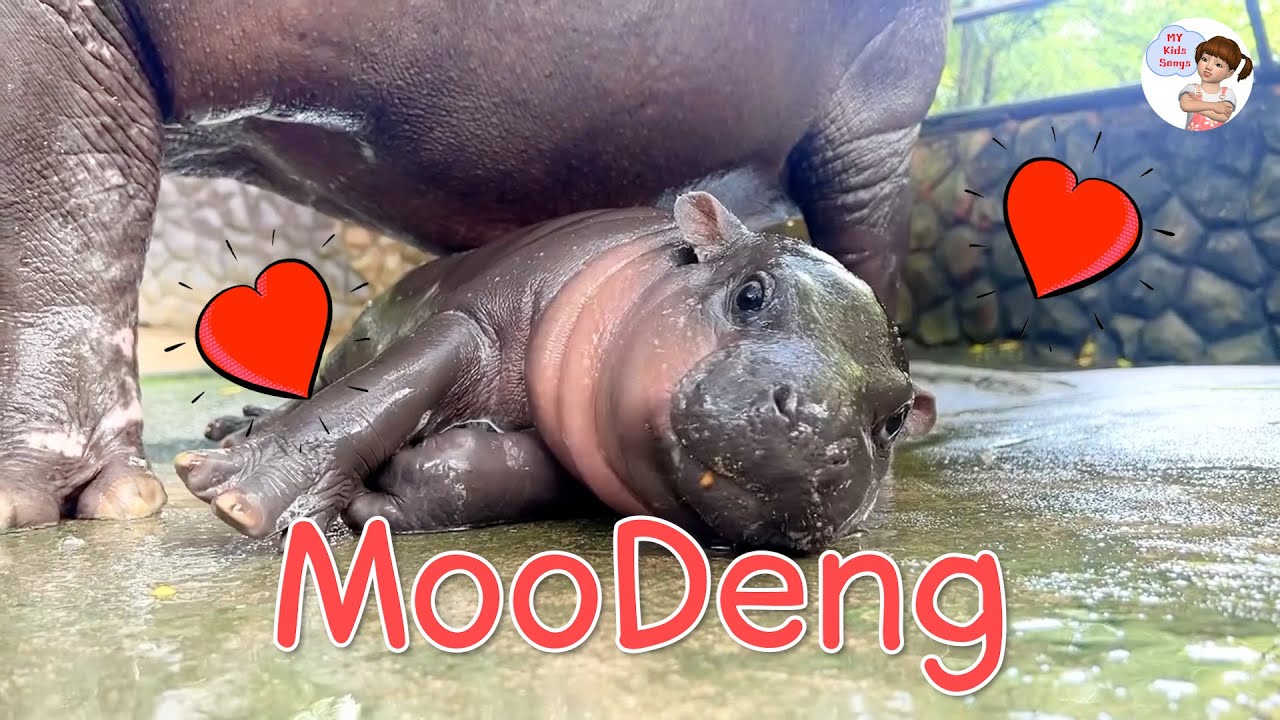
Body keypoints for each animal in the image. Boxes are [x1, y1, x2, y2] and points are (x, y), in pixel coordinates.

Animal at [176, 192, 936, 553]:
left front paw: (394, 493)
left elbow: (516, 473)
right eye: (751, 292)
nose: (819, 426)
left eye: (896, 418)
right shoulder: (478, 319)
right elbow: (380, 395)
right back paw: (232, 431)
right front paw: (235, 492)